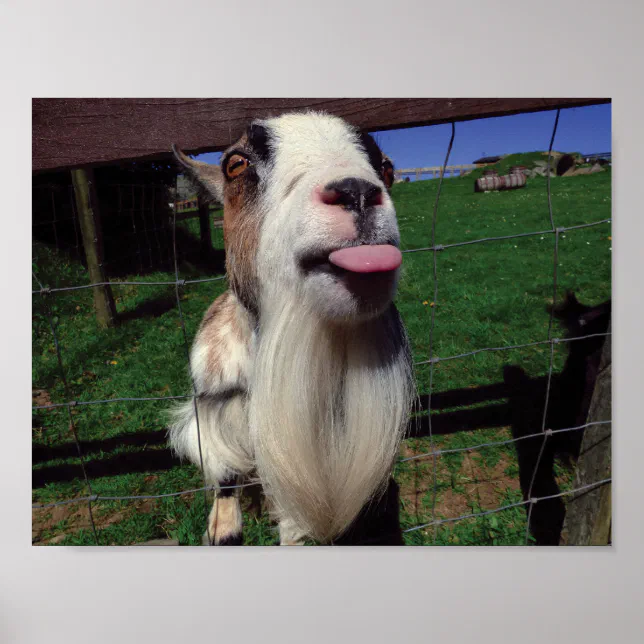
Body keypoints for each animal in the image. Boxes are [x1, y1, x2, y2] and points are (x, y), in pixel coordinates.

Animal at [169, 112, 415, 545]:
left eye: (387, 167)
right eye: (235, 164)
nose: (356, 192)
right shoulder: (214, 411)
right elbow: (225, 473)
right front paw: (223, 529)